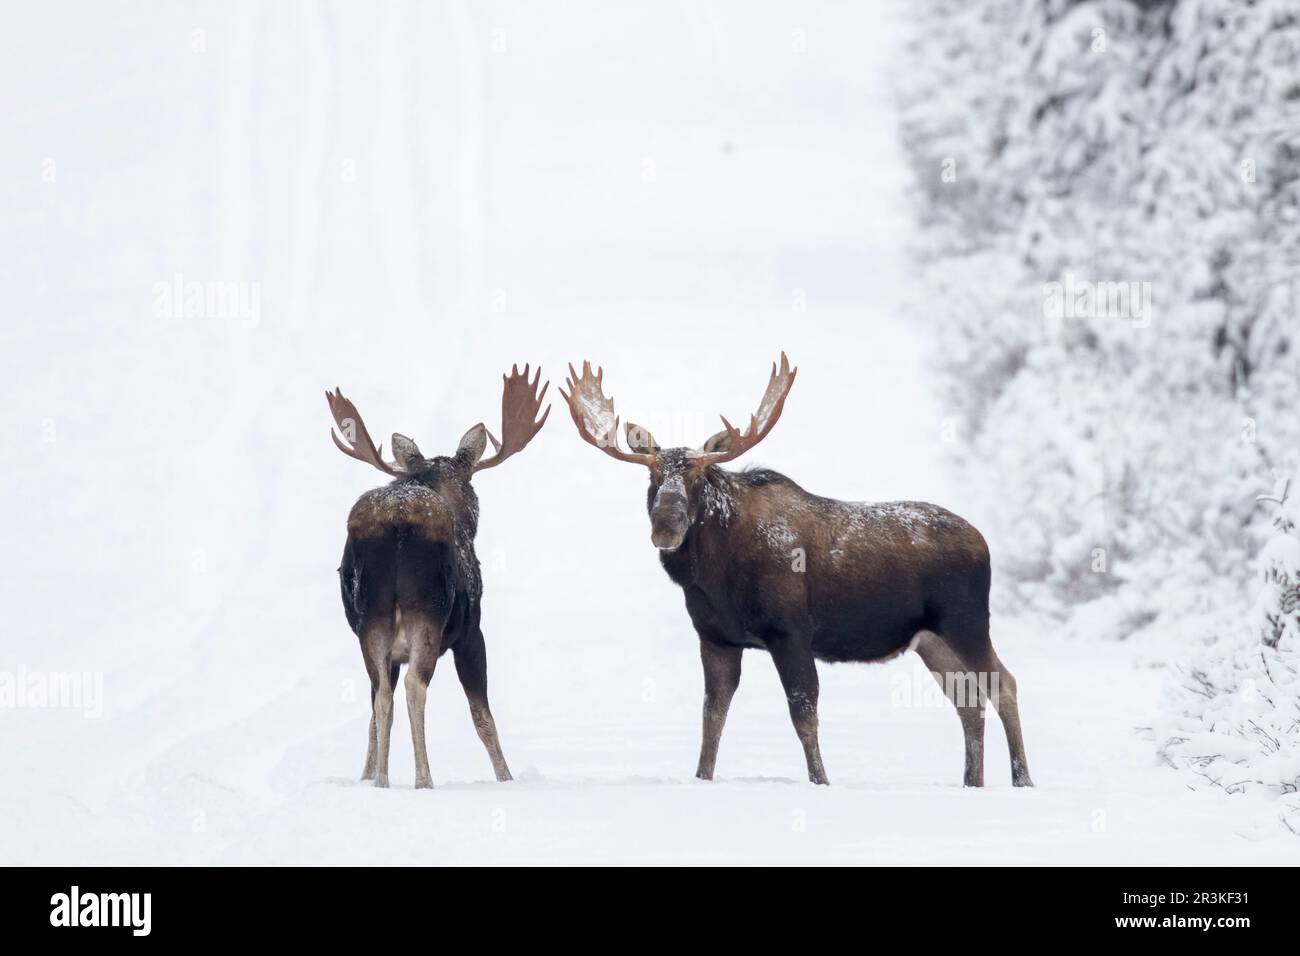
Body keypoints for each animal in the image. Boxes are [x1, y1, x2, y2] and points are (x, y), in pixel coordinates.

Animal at [326, 365, 549, 788]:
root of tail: (397, 522)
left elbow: (372, 718)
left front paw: (366, 775)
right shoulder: (471, 631)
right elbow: (483, 717)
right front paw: (506, 778)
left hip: (371, 619)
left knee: (382, 697)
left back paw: (382, 780)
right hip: (428, 611)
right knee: (415, 687)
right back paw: (424, 779)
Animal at [558, 354, 1032, 788]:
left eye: (696, 478)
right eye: (652, 479)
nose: (665, 527)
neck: (715, 577)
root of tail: (984, 543)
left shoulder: (792, 632)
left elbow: (804, 713)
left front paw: (821, 781)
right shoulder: (715, 637)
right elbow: (713, 715)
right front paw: (702, 778)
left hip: (966, 622)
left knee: (1003, 684)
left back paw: (1022, 779)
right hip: (931, 639)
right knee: (968, 699)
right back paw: (973, 782)